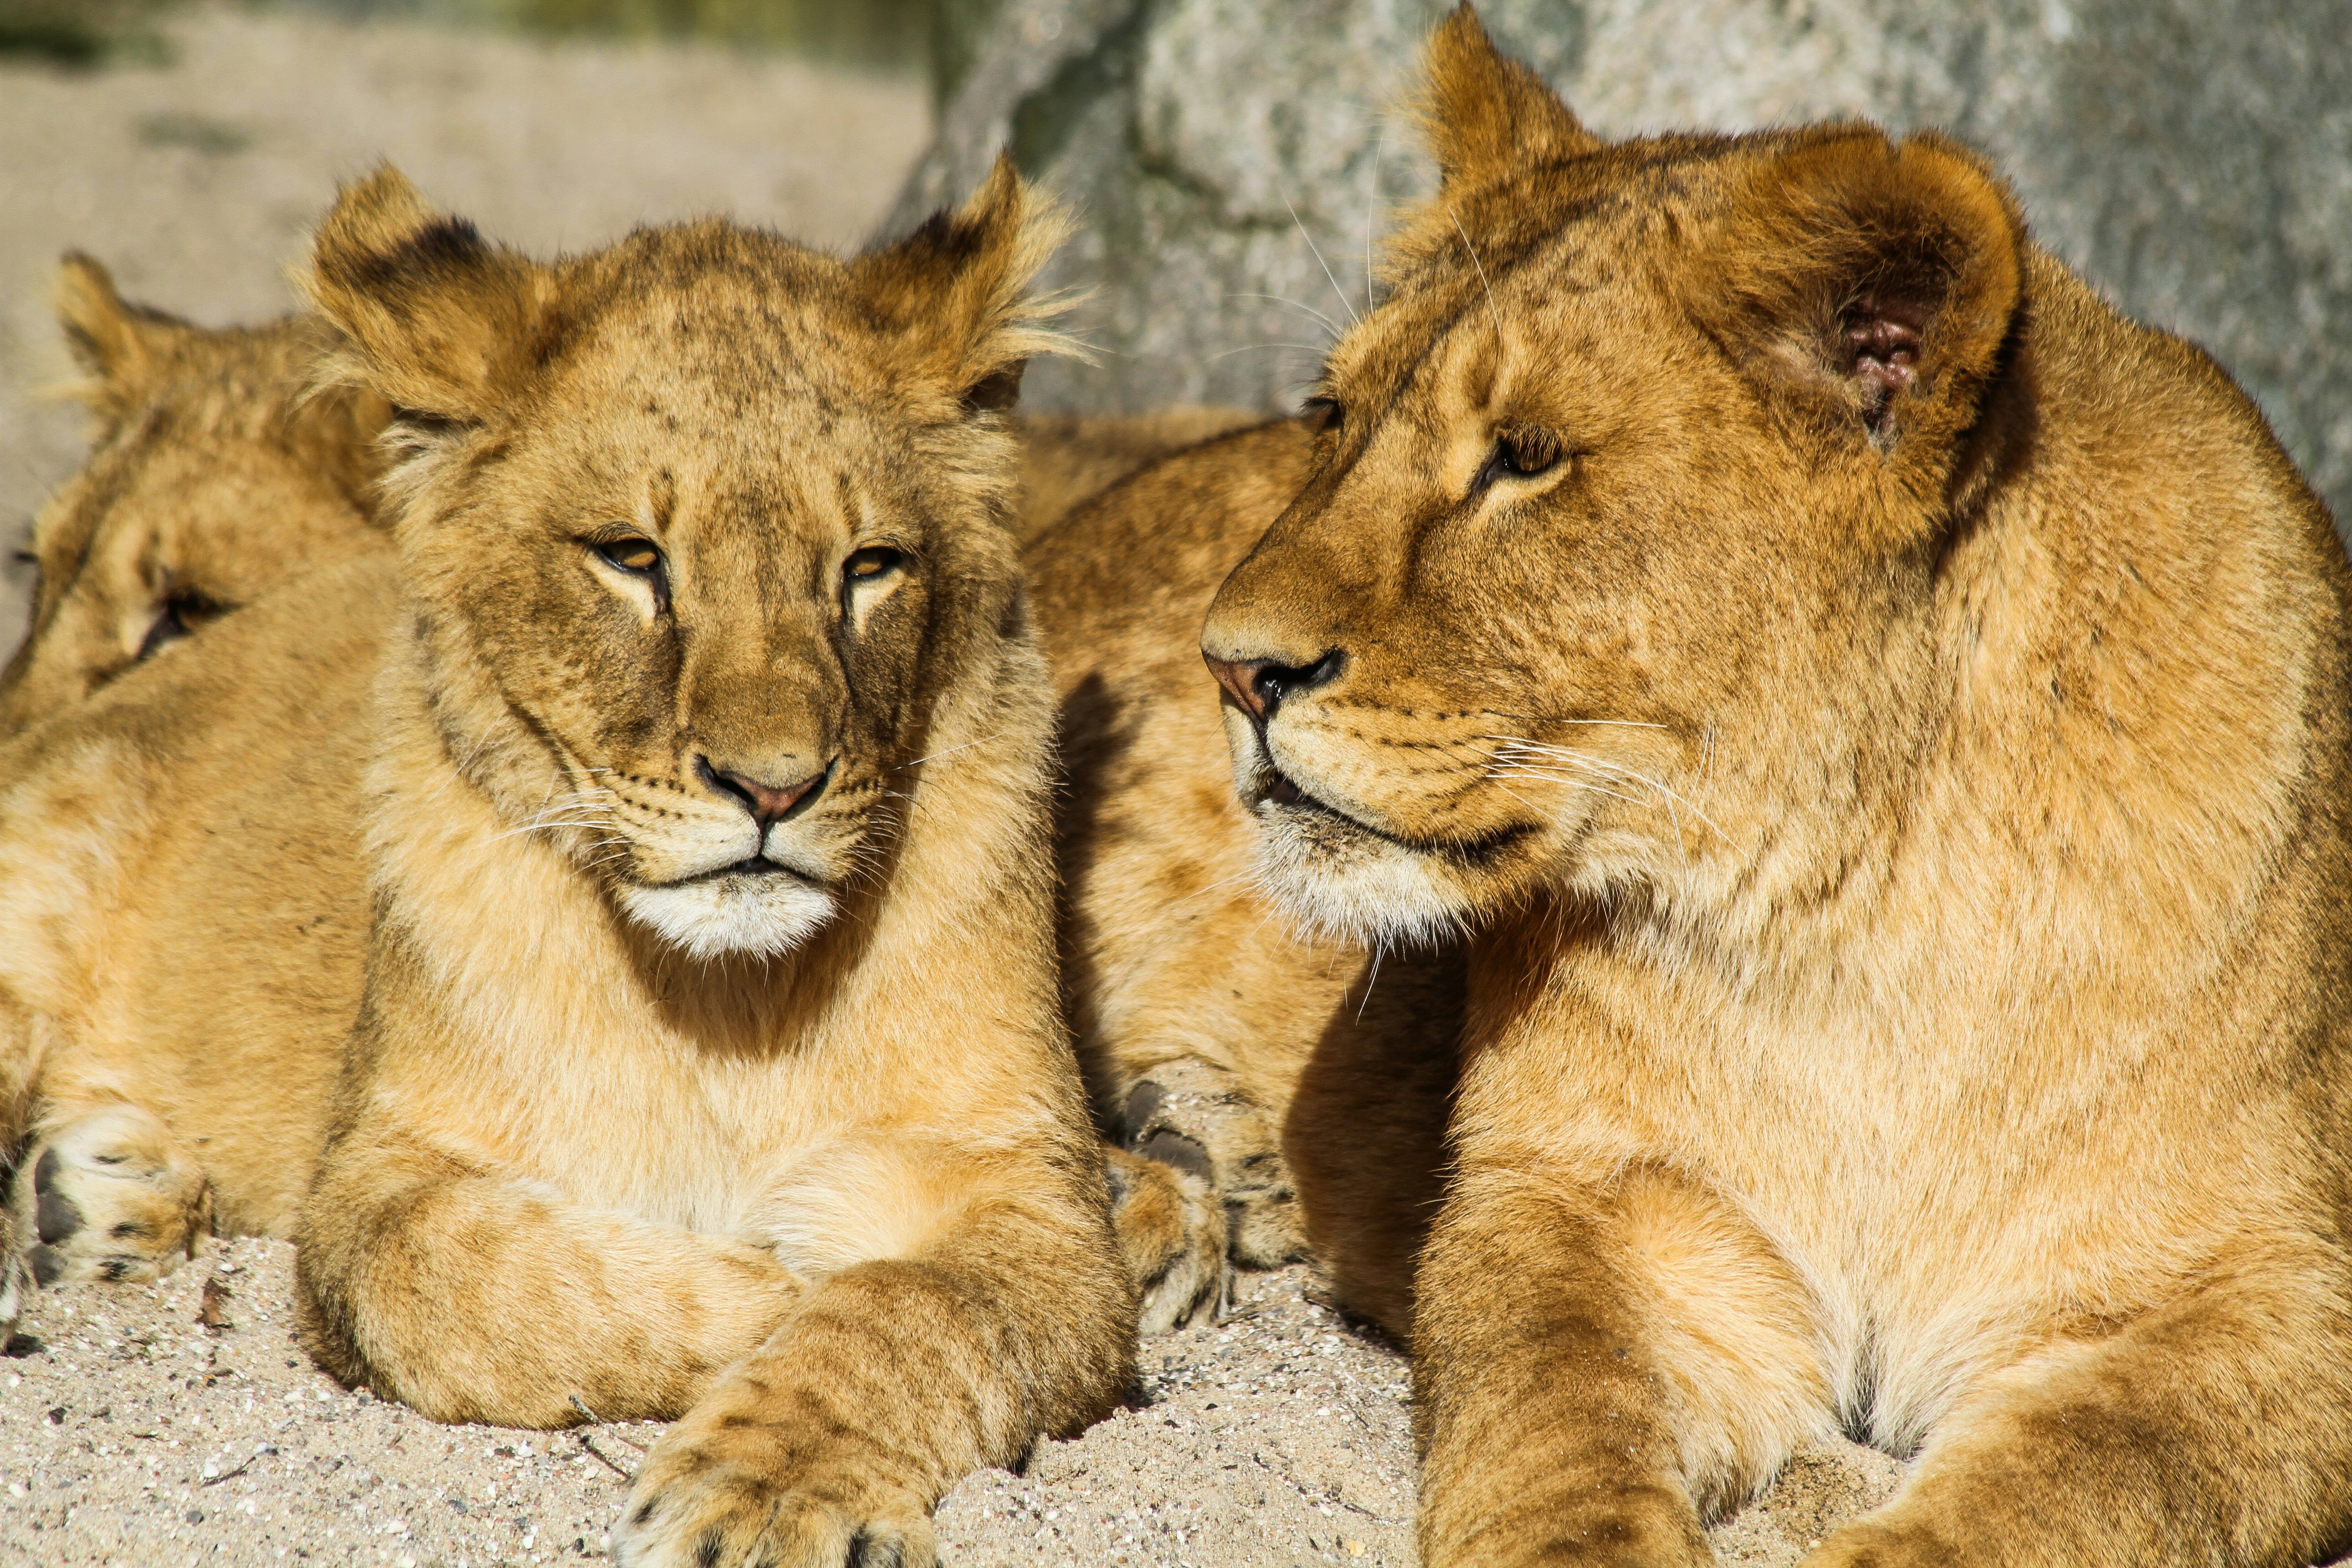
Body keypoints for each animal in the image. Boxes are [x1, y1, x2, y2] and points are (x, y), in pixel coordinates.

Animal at [1170, 8, 2352, 1565]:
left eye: (1526, 459)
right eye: (1331, 415)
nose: (1232, 668)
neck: (1859, 915)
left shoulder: (2274, 1303)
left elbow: (2066, 1485)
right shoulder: (1591, 1209)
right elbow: (1553, 1428)